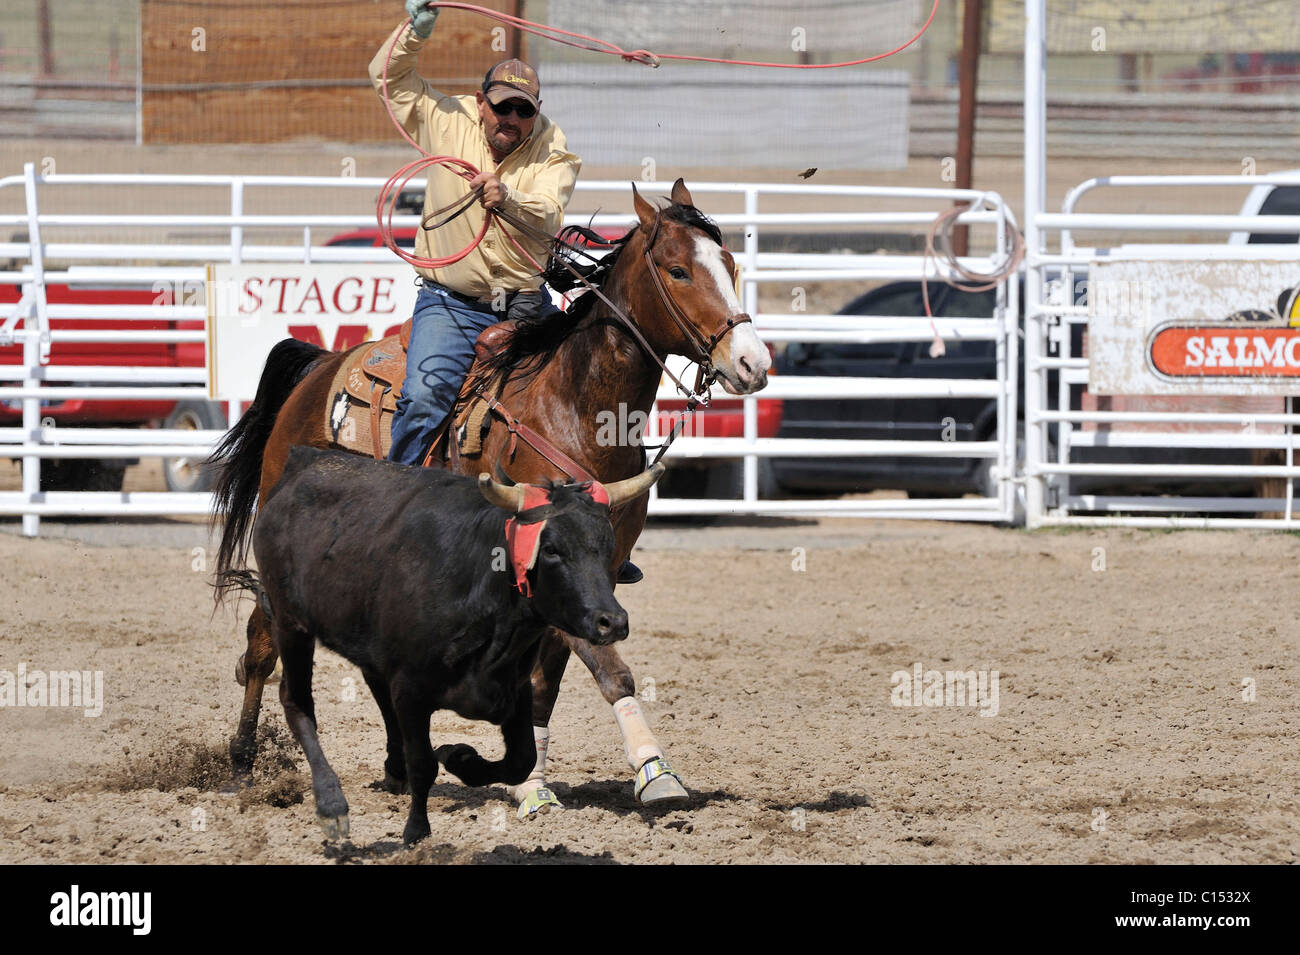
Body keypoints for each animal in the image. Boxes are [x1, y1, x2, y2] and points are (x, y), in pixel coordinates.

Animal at [230, 445, 663, 846]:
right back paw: (330, 803)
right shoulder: (411, 690)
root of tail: (302, 460)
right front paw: (416, 831)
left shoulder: (513, 689)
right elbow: (423, 762)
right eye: (552, 549)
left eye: (607, 546)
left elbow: (520, 759)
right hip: (290, 623)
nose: (612, 621)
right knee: (294, 699)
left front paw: (461, 757)